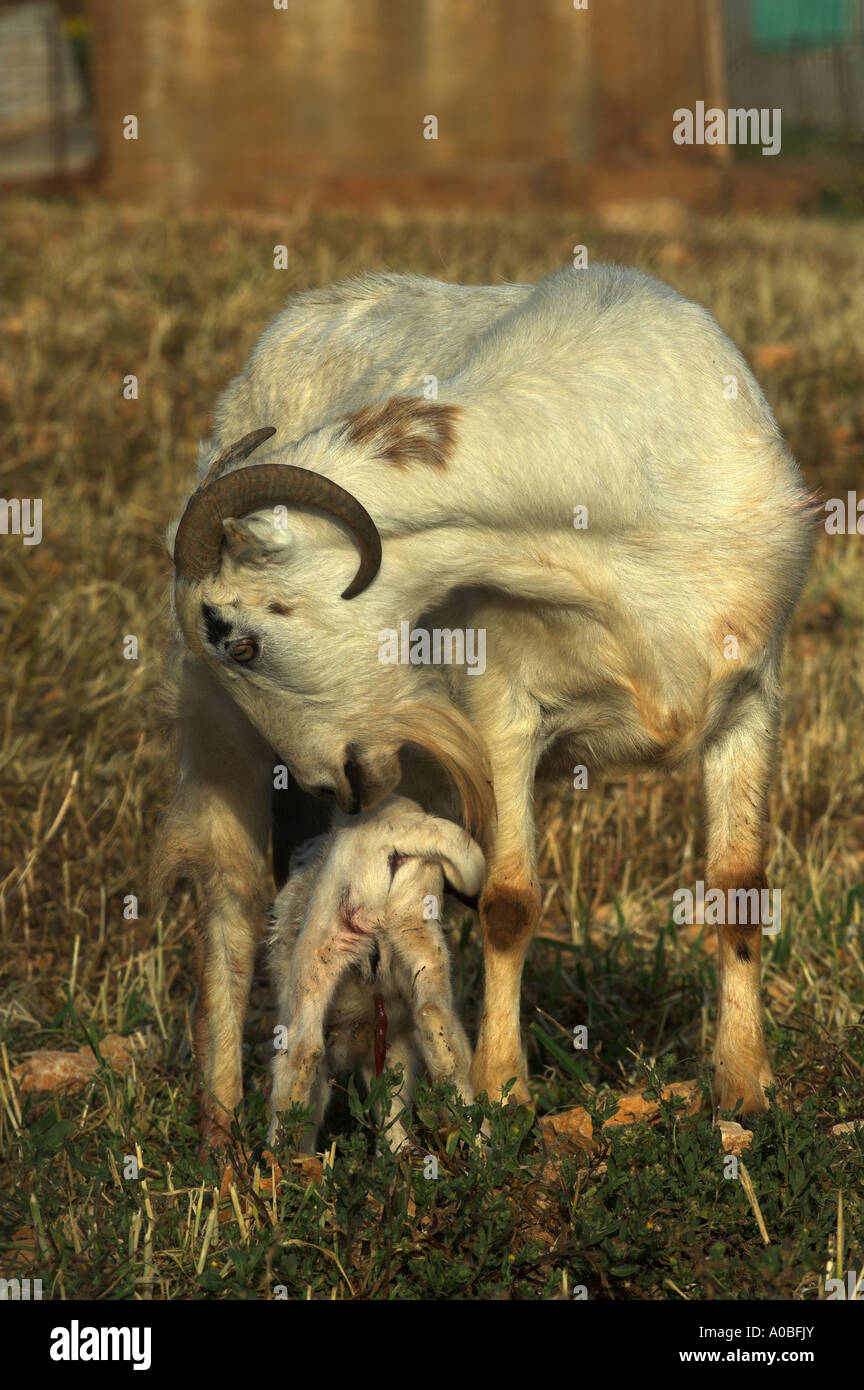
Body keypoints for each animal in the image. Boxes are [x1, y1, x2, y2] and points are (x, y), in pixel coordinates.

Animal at [267, 795, 485, 1152]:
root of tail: (397, 828)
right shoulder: (390, 1040)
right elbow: (391, 1100)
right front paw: (400, 1150)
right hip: (418, 926)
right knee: (435, 1020)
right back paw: (479, 1145)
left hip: (323, 941)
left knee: (302, 1050)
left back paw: (276, 1156)